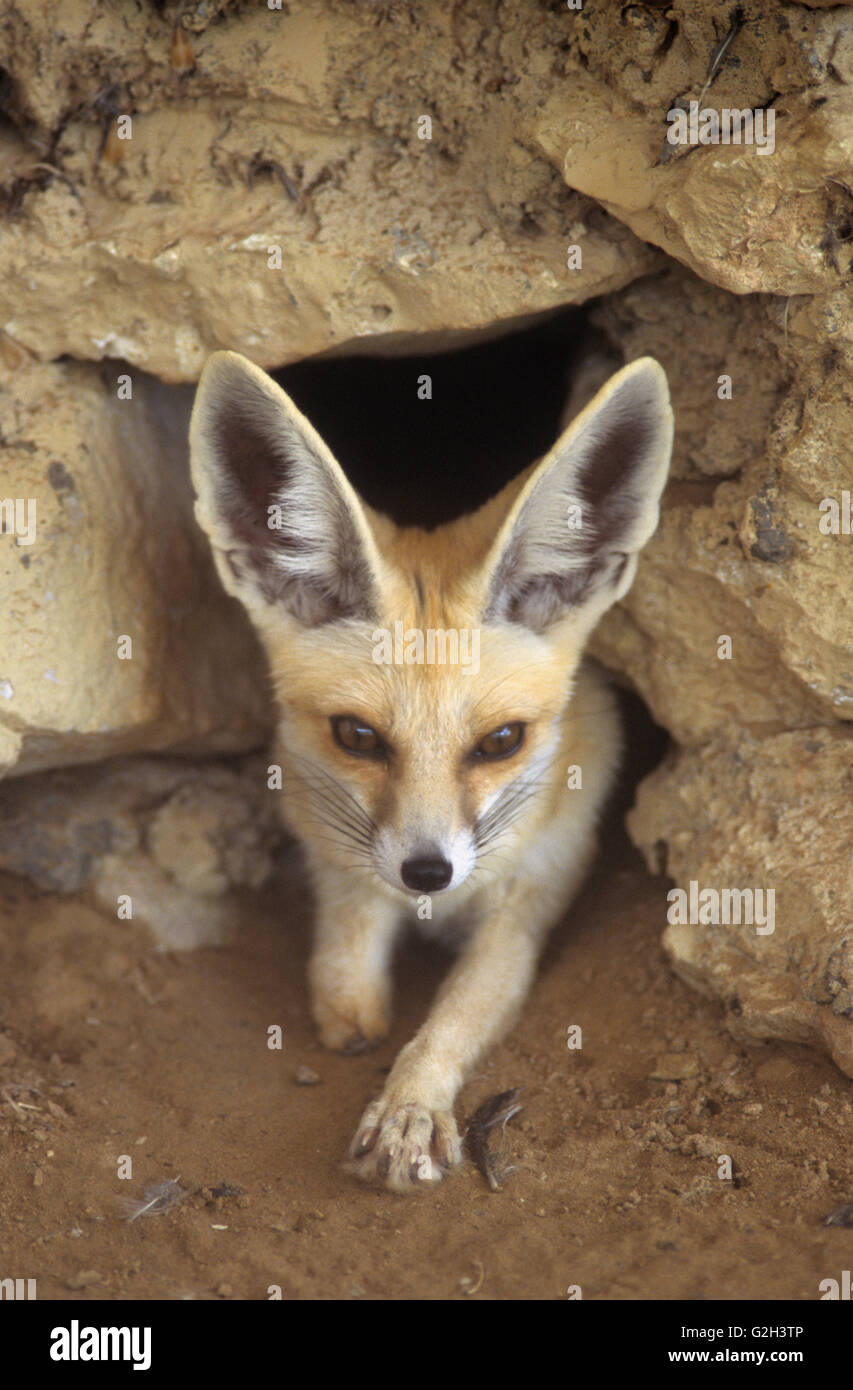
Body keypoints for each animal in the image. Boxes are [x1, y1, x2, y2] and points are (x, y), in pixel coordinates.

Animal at [189, 350, 673, 1192]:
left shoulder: (525, 906)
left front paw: (410, 1105)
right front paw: (360, 1023)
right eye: (356, 736)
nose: (427, 874)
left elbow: (451, 1019)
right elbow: (345, 977)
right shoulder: (340, 864)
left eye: (501, 740)